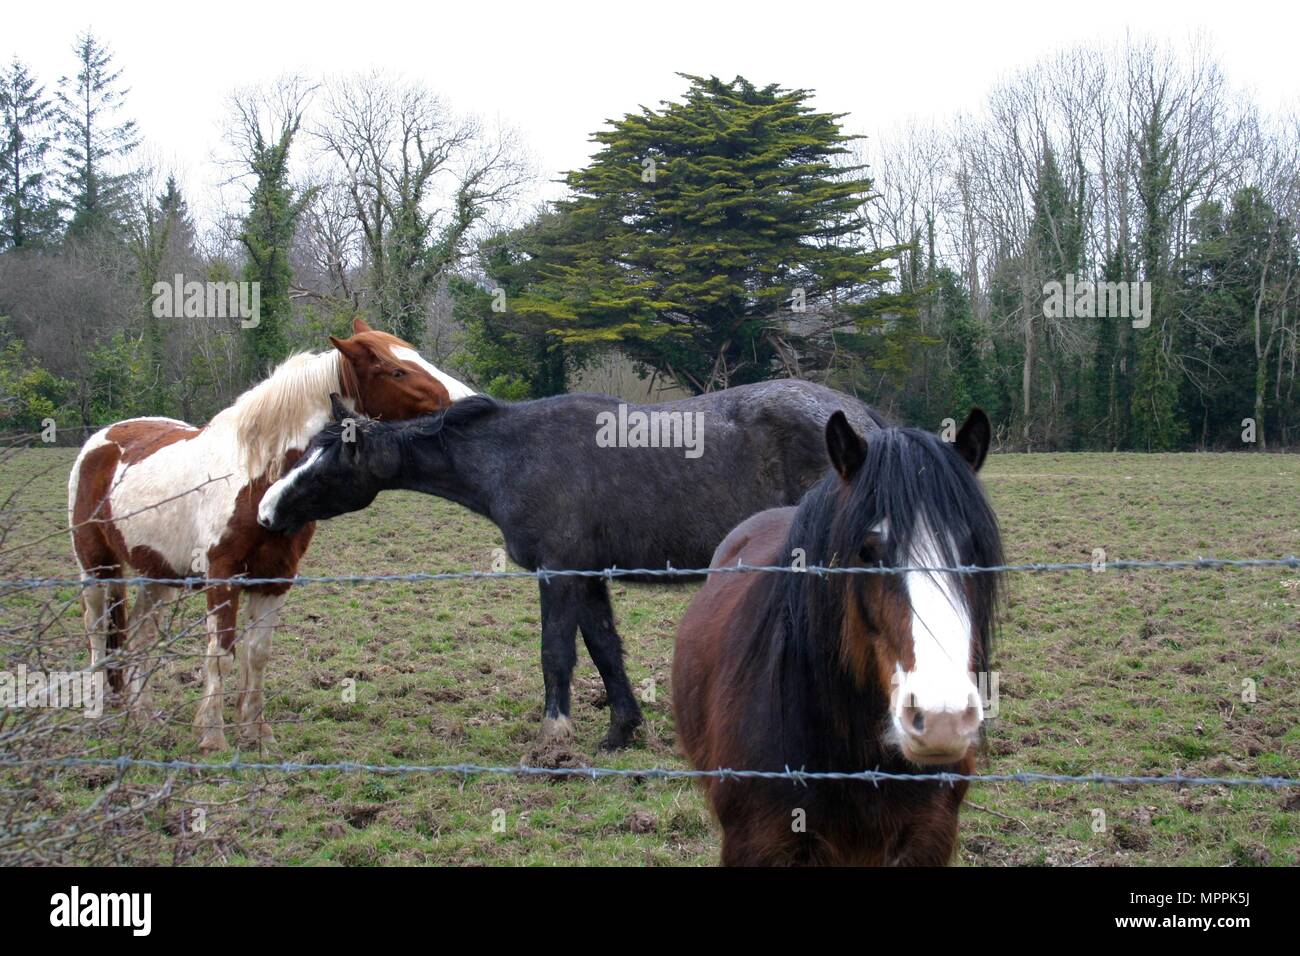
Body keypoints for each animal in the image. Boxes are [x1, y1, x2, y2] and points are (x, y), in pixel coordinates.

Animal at [68, 317, 473, 752]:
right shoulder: (223, 577)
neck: (257, 476)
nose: (470, 403)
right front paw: (213, 736)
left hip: (158, 575)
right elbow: (221, 653)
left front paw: (255, 731)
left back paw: (143, 717)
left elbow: (257, 655)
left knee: (141, 638)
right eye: (397, 371)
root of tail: (102, 440)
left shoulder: (276, 577)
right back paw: (96, 713)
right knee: (96, 630)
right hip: (96, 567)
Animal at [256, 380, 883, 750]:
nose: (266, 511)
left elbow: (555, 652)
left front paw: (555, 736)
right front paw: (621, 731)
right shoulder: (586, 576)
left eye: (328, 462)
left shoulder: (557, 573)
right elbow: (604, 649)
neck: (514, 455)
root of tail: (864, 420)